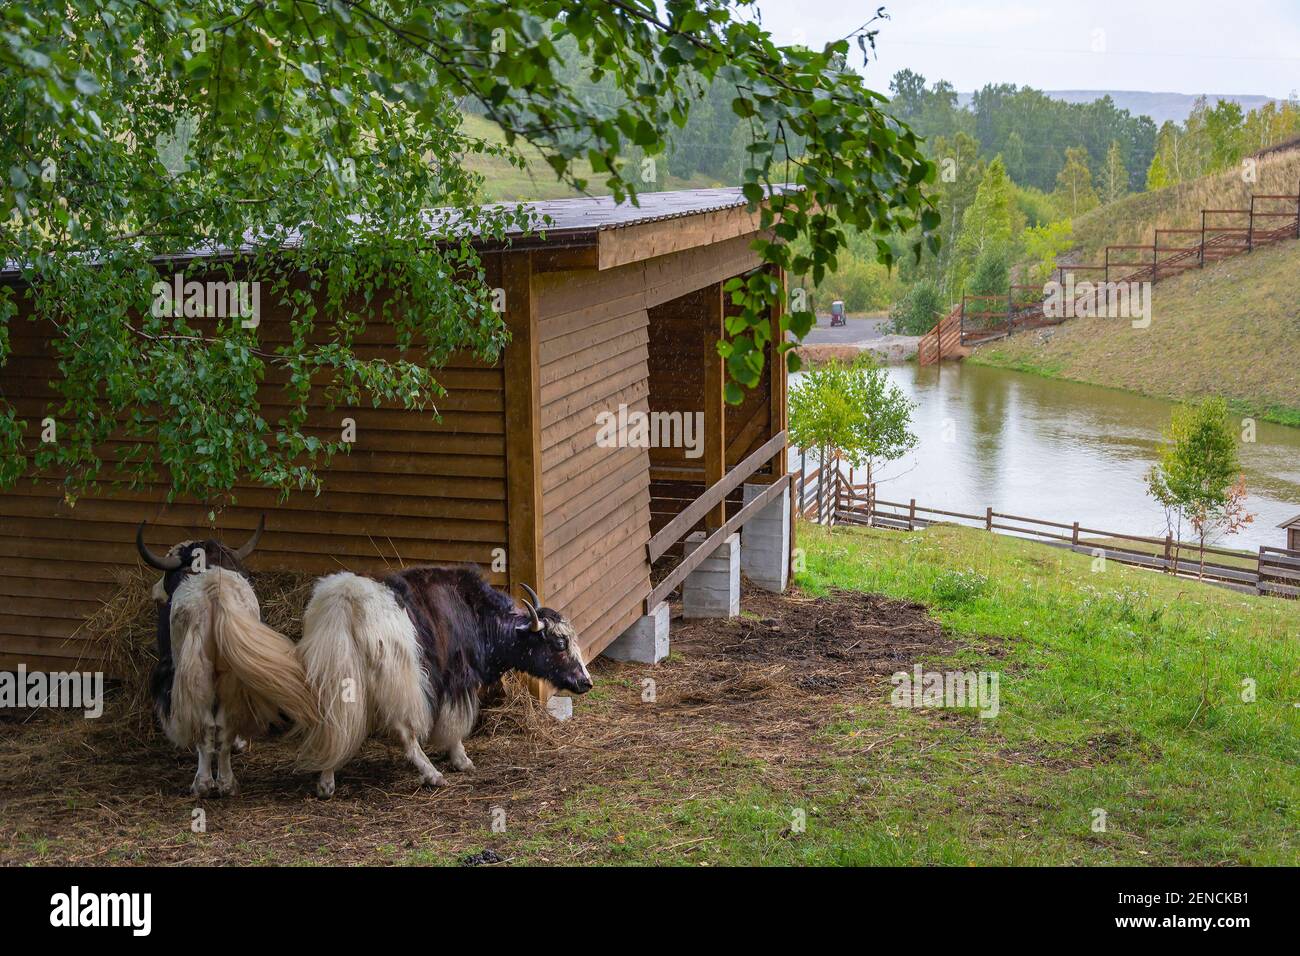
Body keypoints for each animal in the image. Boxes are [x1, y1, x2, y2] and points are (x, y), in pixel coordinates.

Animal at [138, 517, 317, 797]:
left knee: (207, 724)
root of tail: (215, 594)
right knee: (223, 724)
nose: (155, 591)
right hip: (233, 674)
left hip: (197, 671)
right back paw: (226, 783)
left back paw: (203, 783)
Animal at [294, 565, 593, 797]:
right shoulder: (457, 679)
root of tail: (346, 605)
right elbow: (454, 721)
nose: (585, 682)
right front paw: (461, 759)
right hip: (397, 682)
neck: (476, 616)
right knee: (404, 731)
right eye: (559, 643)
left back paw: (326, 782)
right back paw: (433, 775)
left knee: (337, 724)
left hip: (337, 677)